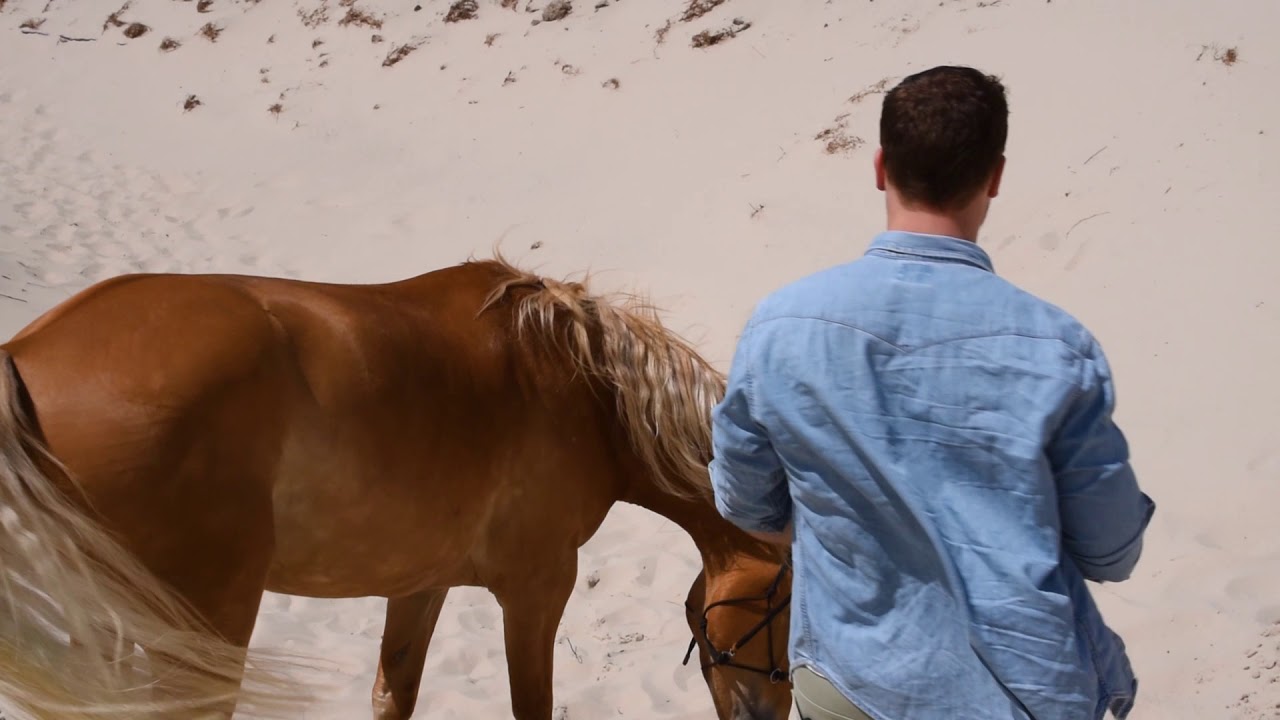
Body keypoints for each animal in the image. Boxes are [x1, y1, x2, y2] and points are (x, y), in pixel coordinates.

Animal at [0, 255, 793, 720]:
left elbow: (394, 695)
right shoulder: (538, 590)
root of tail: (24, 352)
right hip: (200, 625)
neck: (580, 384)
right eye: (789, 603)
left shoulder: (421, 584)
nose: (769, 709)